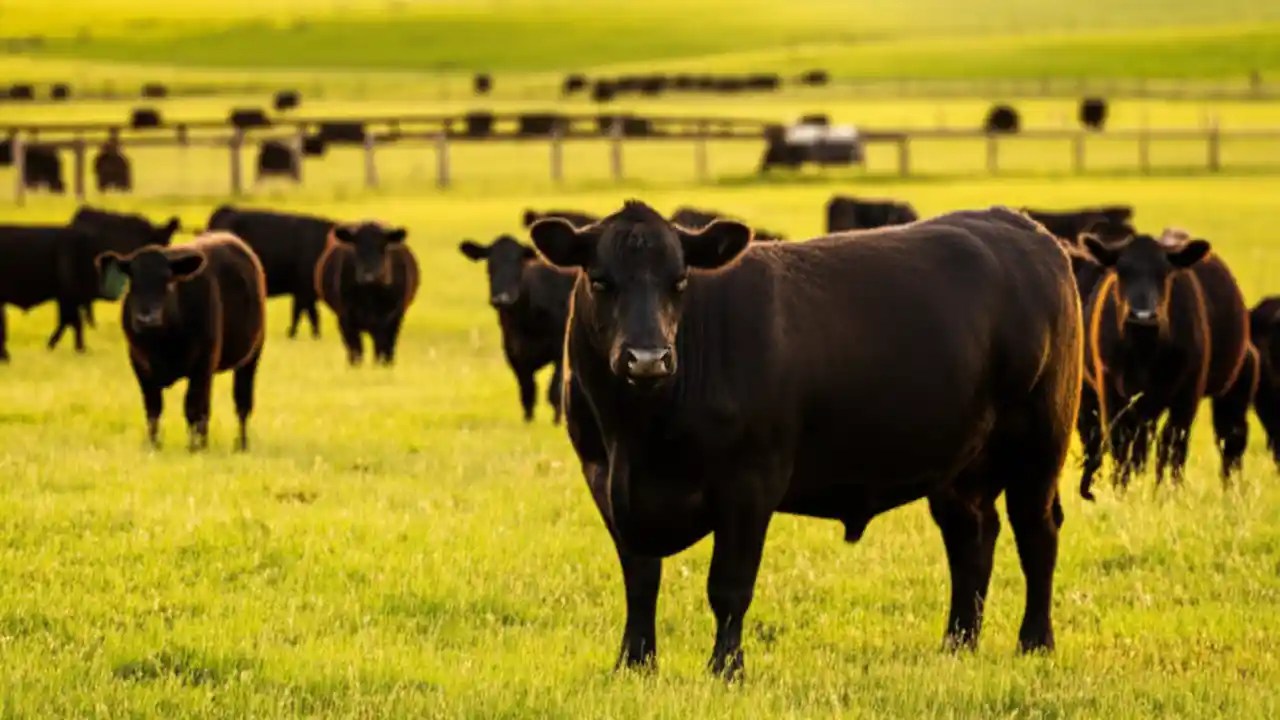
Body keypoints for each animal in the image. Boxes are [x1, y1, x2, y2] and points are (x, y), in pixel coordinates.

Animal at [96, 234, 266, 451]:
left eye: (167, 280)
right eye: (133, 281)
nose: (146, 318)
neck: (162, 343)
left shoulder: (202, 363)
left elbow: (192, 408)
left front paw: (193, 448)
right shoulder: (140, 364)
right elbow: (153, 409)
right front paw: (153, 445)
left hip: (251, 356)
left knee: (242, 404)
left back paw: (241, 445)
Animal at [315, 222, 418, 366]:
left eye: (382, 246)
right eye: (357, 246)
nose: (369, 276)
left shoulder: (391, 320)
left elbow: (383, 351)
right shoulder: (346, 319)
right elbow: (356, 352)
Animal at [459, 235, 576, 423]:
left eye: (518, 264)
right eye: (490, 264)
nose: (502, 298)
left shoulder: (560, 350)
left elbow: (555, 392)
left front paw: (557, 422)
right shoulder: (514, 352)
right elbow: (527, 392)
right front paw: (528, 422)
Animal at [531, 201, 1081, 677]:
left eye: (680, 280)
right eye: (600, 281)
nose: (647, 358)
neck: (638, 436)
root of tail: (1018, 224)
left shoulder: (750, 484)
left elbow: (729, 586)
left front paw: (726, 669)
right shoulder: (604, 481)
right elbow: (641, 580)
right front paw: (634, 664)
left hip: (1039, 445)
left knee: (1036, 532)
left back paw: (1035, 641)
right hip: (961, 465)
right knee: (971, 536)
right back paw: (958, 643)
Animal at [1078, 229, 1249, 497]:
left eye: (1166, 273)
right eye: (1121, 271)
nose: (1143, 316)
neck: (1144, 352)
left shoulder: (1187, 393)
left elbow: (1172, 444)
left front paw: (1168, 493)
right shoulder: (1111, 391)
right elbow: (1119, 443)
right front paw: (1120, 491)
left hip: (1229, 391)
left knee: (1226, 441)